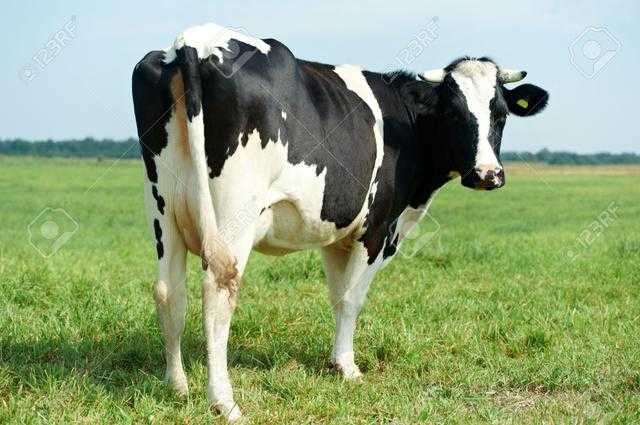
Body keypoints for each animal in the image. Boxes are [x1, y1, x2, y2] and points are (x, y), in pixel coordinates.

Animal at [132, 23, 548, 421]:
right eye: (454, 113)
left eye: (500, 114)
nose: (487, 174)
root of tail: (194, 41)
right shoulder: (377, 228)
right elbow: (352, 298)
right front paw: (348, 368)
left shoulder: (336, 234)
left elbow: (336, 295)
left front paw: (335, 361)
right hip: (235, 211)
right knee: (219, 288)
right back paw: (224, 402)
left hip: (163, 208)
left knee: (169, 292)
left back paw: (177, 386)